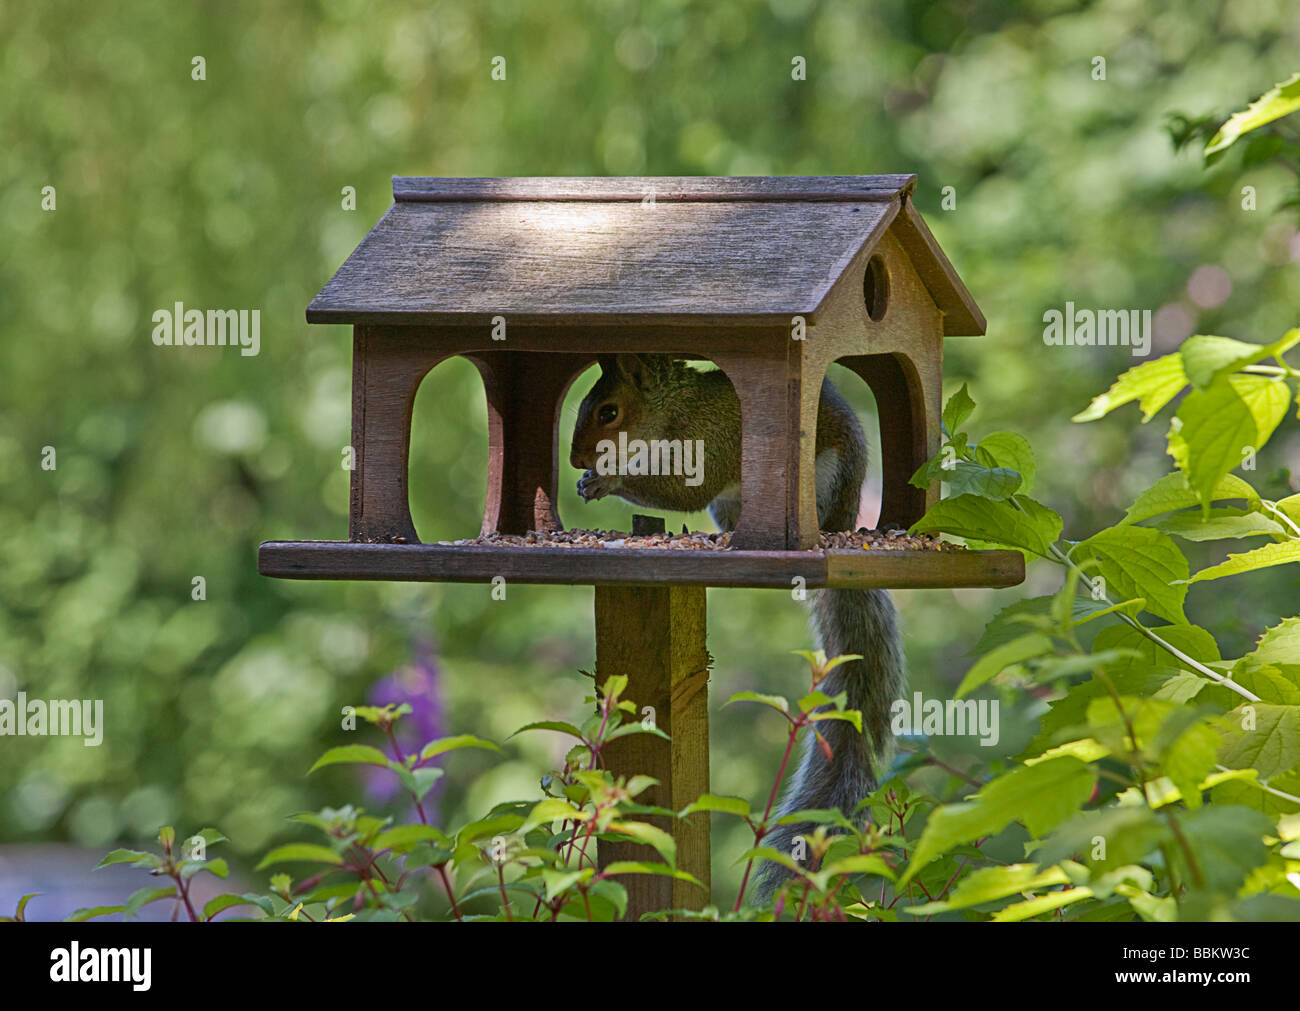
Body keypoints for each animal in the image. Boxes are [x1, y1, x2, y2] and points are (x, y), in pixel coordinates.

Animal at [569, 353, 905, 902]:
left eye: (608, 412)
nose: (577, 460)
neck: (671, 412)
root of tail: (845, 519)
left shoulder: (712, 441)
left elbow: (682, 489)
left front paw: (606, 481)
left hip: (822, 486)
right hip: (731, 506)